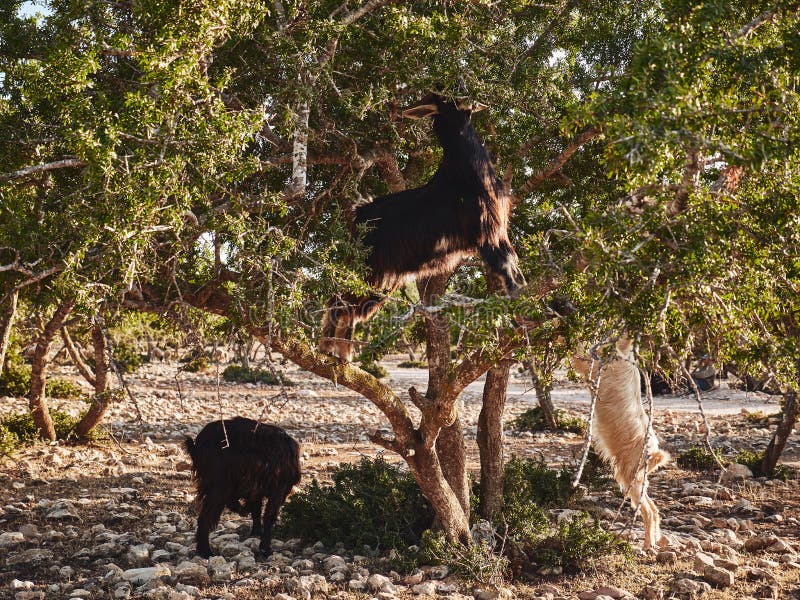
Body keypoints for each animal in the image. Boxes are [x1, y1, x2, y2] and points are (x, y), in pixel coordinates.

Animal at [184, 417, 301, 558]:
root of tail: (197, 445)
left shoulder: (256, 489)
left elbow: (256, 510)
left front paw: (256, 533)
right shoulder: (279, 489)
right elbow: (269, 516)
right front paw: (265, 548)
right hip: (218, 486)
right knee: (205, 517)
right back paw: (206, 551)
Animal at [319, 93, 526, 360]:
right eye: (448, 100)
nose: (470, 101)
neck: (471, 175)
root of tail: (359, 215)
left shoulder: (499, 232)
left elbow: (515, 266)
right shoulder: (486, 235)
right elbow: (507, 269)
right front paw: (524, 302)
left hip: (384, 277)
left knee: (355, 306)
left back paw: (342, 352)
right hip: (368, 266)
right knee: (339, 299)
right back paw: (328, 348)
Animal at [573, 338, 670, 550]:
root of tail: (655, 454)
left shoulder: (590, 362)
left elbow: (579, 351)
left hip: (629, 477)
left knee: (648, 511)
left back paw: (647, 546)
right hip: (637, 480)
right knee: (654, 509)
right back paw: (655, 541)